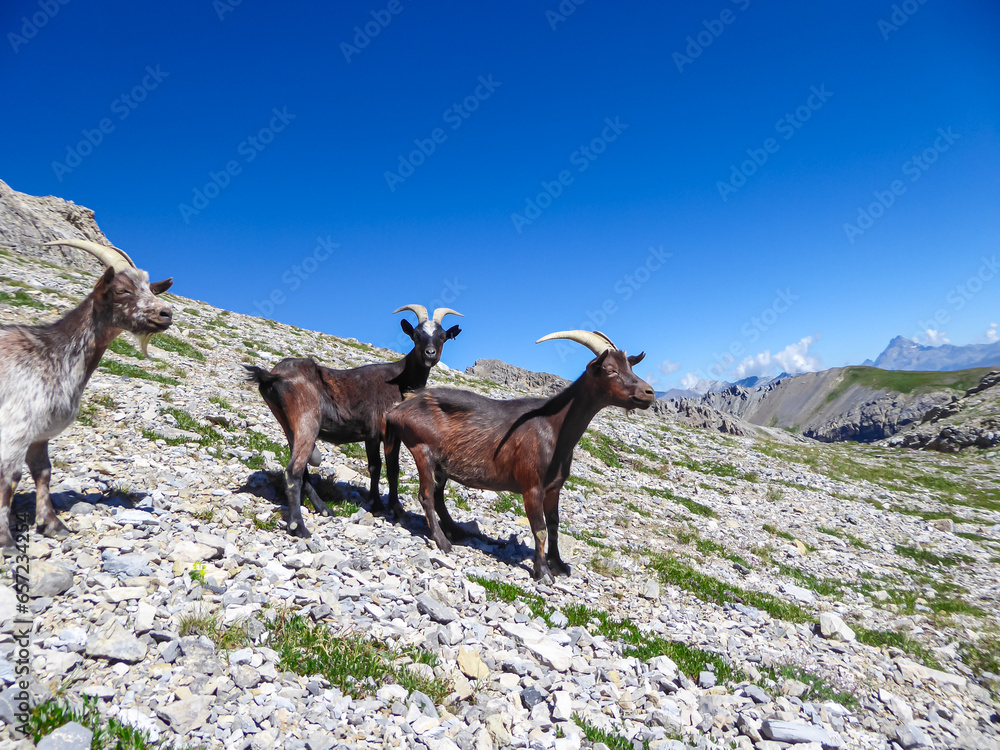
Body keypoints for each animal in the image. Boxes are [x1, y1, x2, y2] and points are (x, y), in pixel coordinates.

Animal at [0, 239, 173, 550]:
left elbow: (43, 472)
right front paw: (5, 539)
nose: (167, 314)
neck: (53, 353)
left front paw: (52, 524)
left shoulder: (40, 432)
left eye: (150, 289)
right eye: (122, 290)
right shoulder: (16, 425)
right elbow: (9, 477)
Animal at [244, 304, 462, 538]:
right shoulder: (389, 431)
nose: (430, 354)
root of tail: (273, 376)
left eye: (442, 336)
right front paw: (396, 509)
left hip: (287, 423)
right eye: (416, 335)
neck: (401, 380)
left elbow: (374, 466)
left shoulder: (371, 435)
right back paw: (299, 526)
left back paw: (324, 509)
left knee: (302, 470)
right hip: (306, 419)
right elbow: (392, 470)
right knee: (293, 472)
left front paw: (376, 505)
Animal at [386, 330, 654, 583]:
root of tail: (398, 409)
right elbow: (540, 529)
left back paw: (457, 532)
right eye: (609, 370)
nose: (649, 392)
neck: (553, 428)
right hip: (422, 449)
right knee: (426, 496)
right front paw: (542, 571)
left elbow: (554, 525)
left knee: (438, 496)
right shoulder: (531, 486)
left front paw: (559, 565)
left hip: (442, 463)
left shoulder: (554, 487)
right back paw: (443, 542)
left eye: (630, 367)